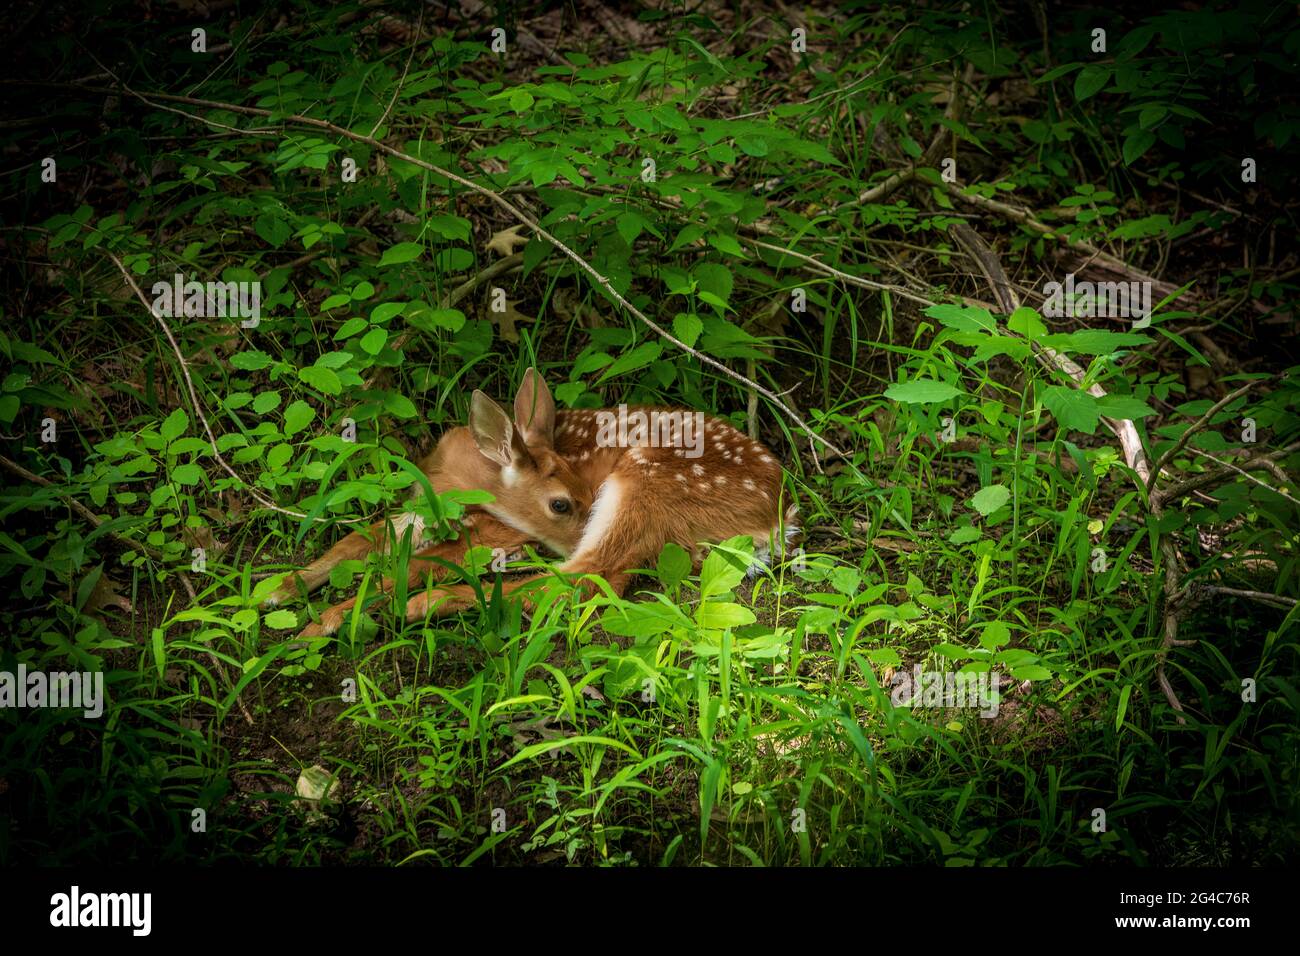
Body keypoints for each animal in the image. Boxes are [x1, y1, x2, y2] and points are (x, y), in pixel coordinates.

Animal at [265, 368, 801, 638]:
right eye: (561, 504)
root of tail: (777, 519)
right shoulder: (420, 509)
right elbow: (356, 544)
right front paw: (278, 590)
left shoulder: (497, 528)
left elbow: (410, 564)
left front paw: (328, 621)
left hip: (647, 480)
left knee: (585, 577)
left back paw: (427, 605)